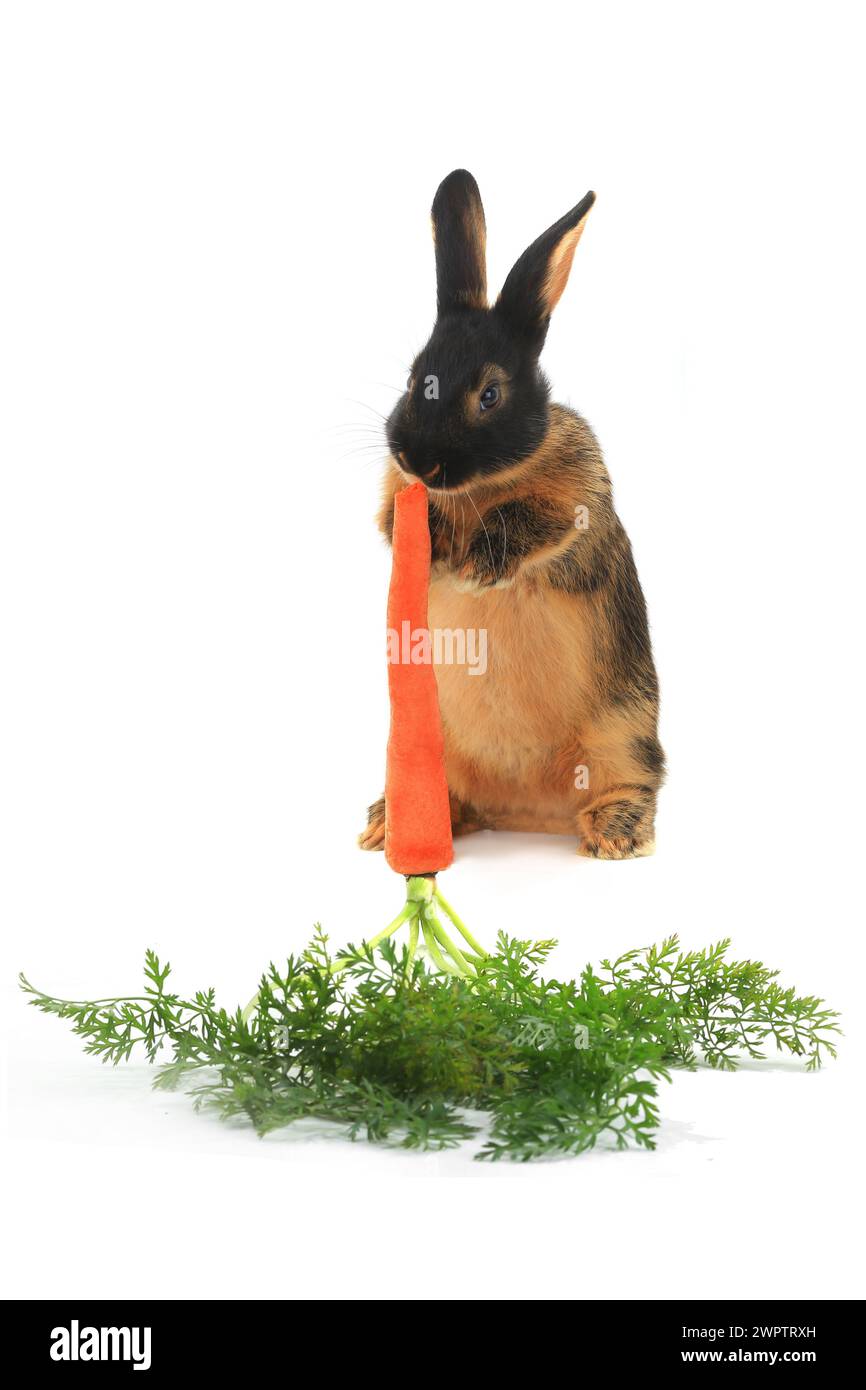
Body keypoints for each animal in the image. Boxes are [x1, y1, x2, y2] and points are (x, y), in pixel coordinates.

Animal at [359, 170, 664, 860]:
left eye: (491, 395)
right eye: (415, 378)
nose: (417, 458)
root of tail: (528, 814)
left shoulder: (578, 509)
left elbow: (533, 521)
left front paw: (475, 565)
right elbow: (394, 518)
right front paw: (428, 540)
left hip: (622, 732)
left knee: (636, 780)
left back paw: (614, 835)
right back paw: (388, 824)